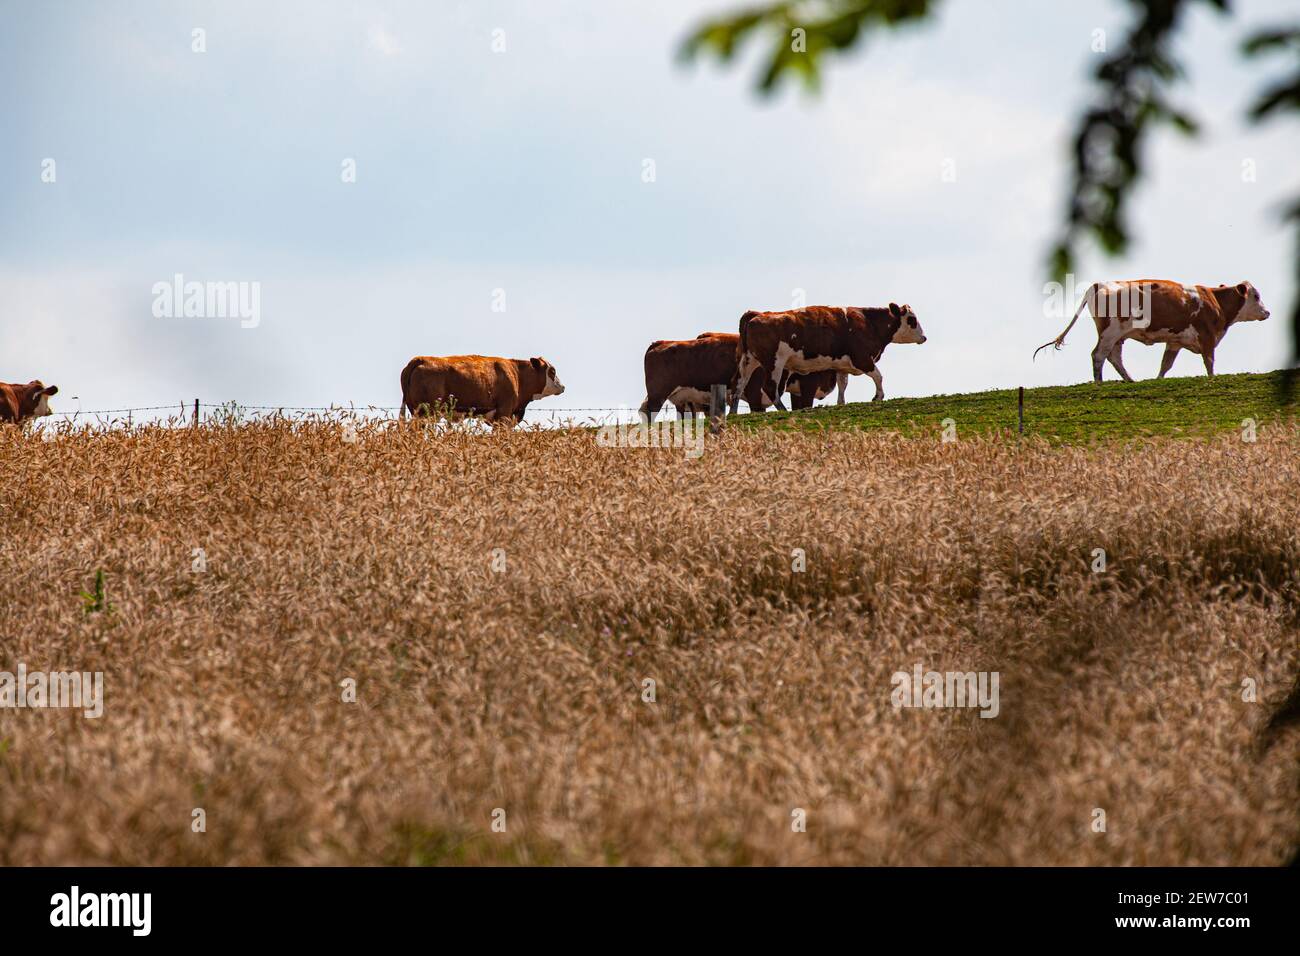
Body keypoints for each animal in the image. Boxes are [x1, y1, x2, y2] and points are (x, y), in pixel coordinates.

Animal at [399, 354, 564, 425]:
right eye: (552, 371)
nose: (562, 386)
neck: (516, 374)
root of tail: (420, 358)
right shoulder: (504, 413)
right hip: (425, 413)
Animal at [731, 304, 926, 414]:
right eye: (912, 319)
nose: (924, 337)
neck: (868, 322)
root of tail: (757, 314)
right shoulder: (863, 359)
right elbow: (878, 376)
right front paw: (878, 396)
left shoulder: (842, 366)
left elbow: (843, 385)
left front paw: (841, 403)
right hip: (774, 362)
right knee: (771, 388)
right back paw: (783, 410)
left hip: (748, 361)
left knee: (738, 385)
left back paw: (732, 412)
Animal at [1034, 280, 1270, 381]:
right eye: (1256, 296)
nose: (1267, 312)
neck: (1214, 299)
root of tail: (1100, 284)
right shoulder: (1208, 336)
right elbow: (1209, 362)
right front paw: (1212, 378)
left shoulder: (1175, 341)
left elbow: (1166, 364)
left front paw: (1158, 379)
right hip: (1110, 332)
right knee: (1099, 355)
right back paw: (1099, 383)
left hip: (1117, 336)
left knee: (1114, 357)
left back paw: (1130, 380)